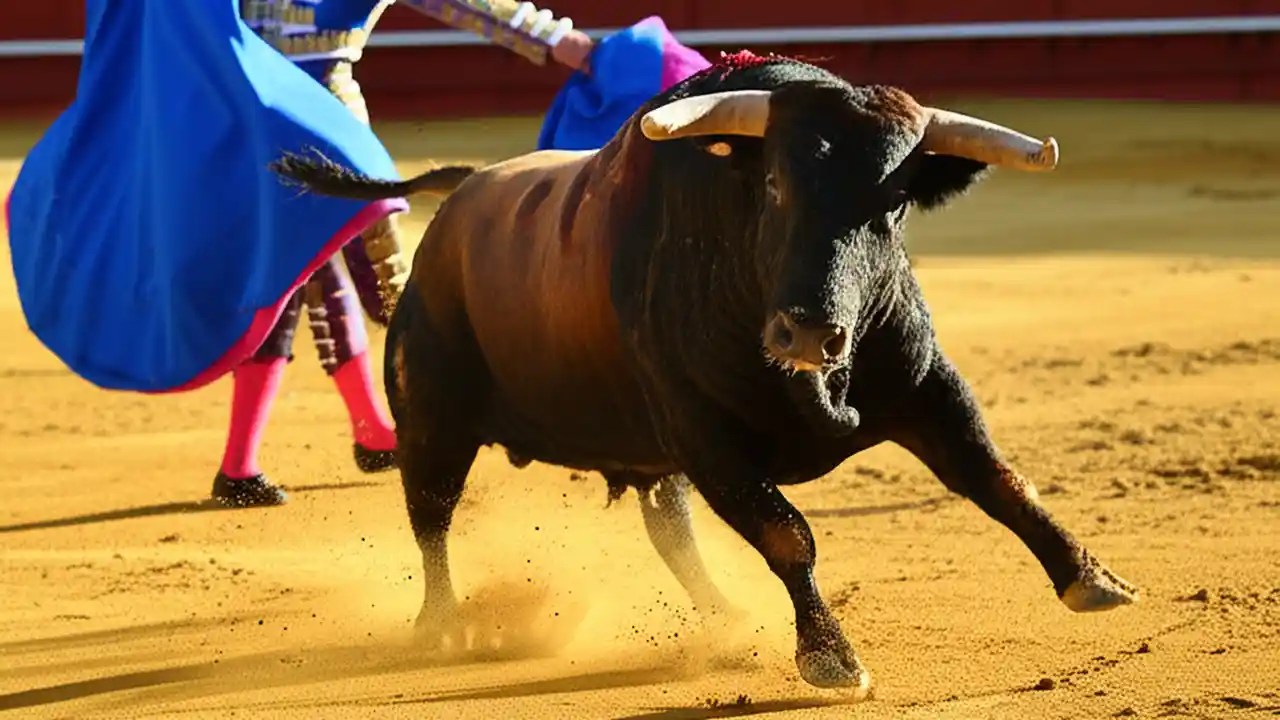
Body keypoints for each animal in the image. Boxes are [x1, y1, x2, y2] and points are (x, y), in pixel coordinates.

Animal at [271, 52, 1138, 696]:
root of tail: (465, 190)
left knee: (669, 529)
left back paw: (722, 615)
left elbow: (999, 479)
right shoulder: (706, 433)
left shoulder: (928, 389)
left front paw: (1092, 578)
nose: (810, 332)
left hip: (645, 450)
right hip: (432, 417)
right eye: (776, 185)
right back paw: (443, 625)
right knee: (432, 514)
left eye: (893, 208)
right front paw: (831, 657)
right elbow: (788, 534)